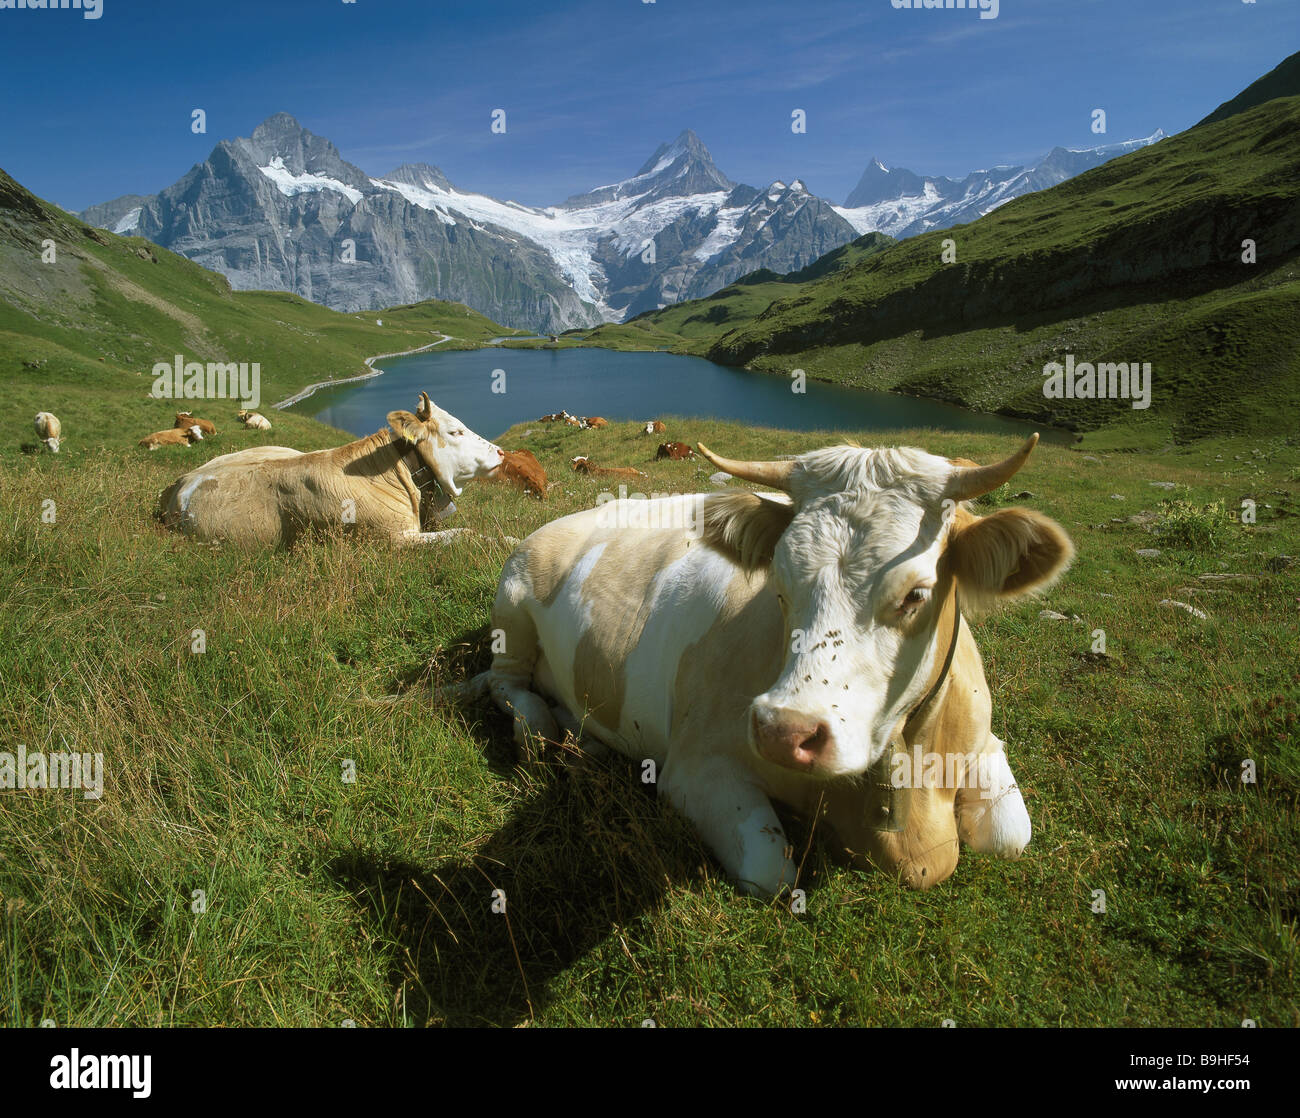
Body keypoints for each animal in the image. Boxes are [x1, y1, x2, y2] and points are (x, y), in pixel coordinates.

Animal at [469, 434, 1072, 896]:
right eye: (778, 586)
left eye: (916, 595)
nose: (785, 731)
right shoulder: (695, 766)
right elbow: (769, 871)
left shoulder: (985, 740)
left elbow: (1011, 835)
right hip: (511, 609)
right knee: (506, 684)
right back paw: (542, 727)